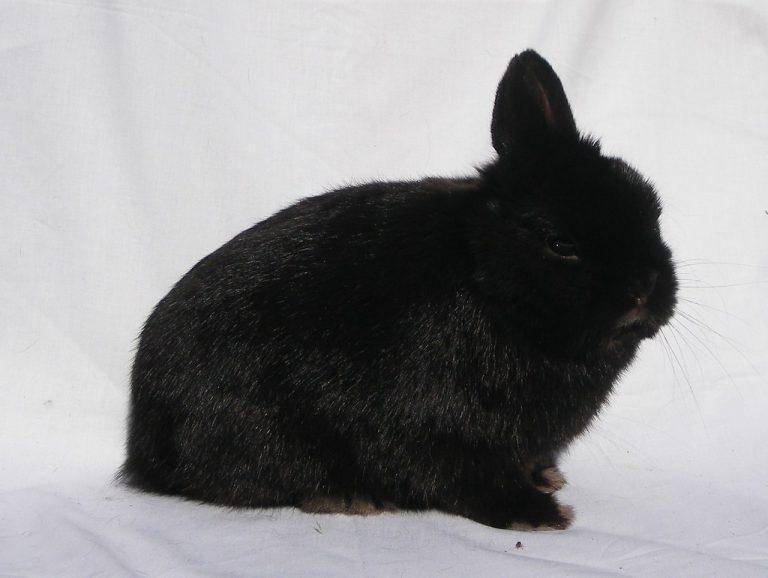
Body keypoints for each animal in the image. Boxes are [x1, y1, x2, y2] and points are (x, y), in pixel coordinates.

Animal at [122, 49, 677, 530]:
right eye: (561, 243)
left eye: (651, 210)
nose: (645, 289)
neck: (488, 287)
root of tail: (142, 445)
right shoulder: (435, 429)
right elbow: (465, 478)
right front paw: (538, 514)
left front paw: (545, 478)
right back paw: (346, 497)